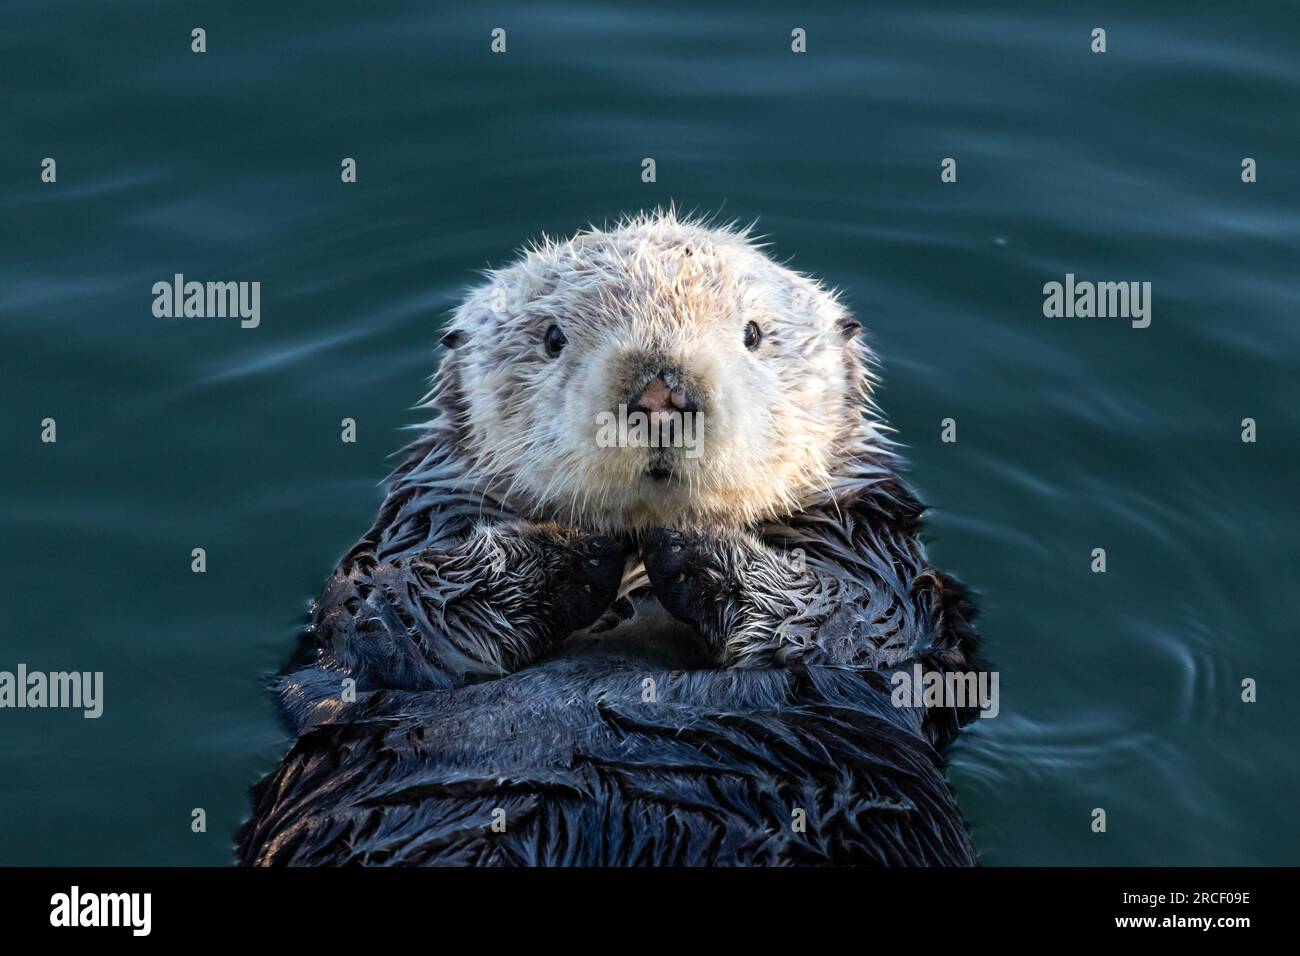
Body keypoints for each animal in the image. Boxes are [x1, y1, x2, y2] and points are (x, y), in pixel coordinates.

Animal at [237, 211, 986, 866]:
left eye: (753, 334)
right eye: (551, 338)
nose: (661, 394)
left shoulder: (884, 569)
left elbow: (852, 622)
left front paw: (689, 547)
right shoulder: (401, 550)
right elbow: (387, 613)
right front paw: (577, 551)